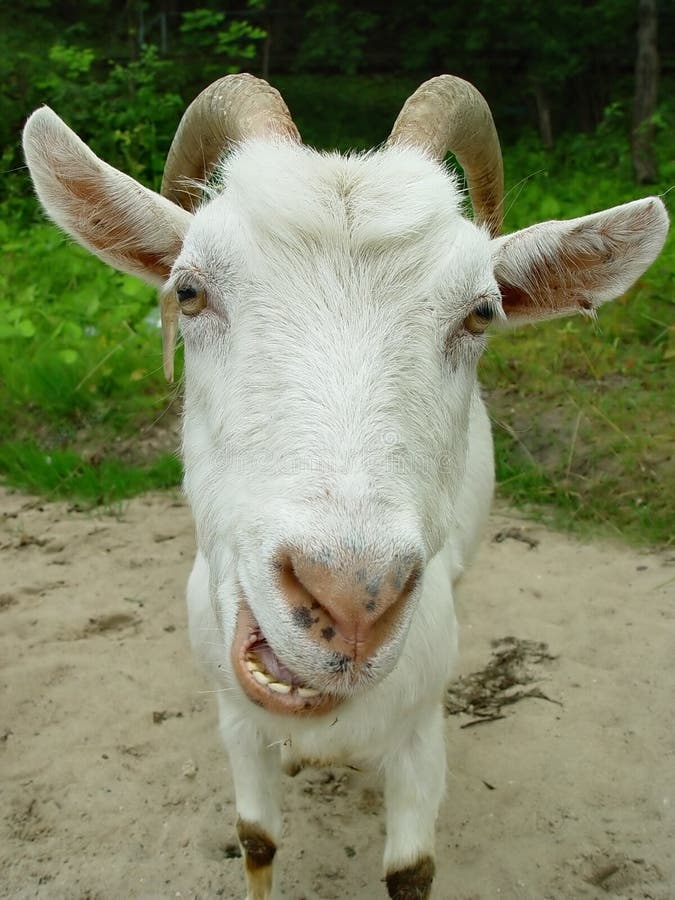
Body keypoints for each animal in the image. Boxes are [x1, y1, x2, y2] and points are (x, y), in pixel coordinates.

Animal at [23, 74, 668, 899]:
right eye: (188, 291)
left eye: (480, 313)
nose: (349, 601)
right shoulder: (236, 724)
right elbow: (256, 839)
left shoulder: (420, 733)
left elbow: (410, 868)